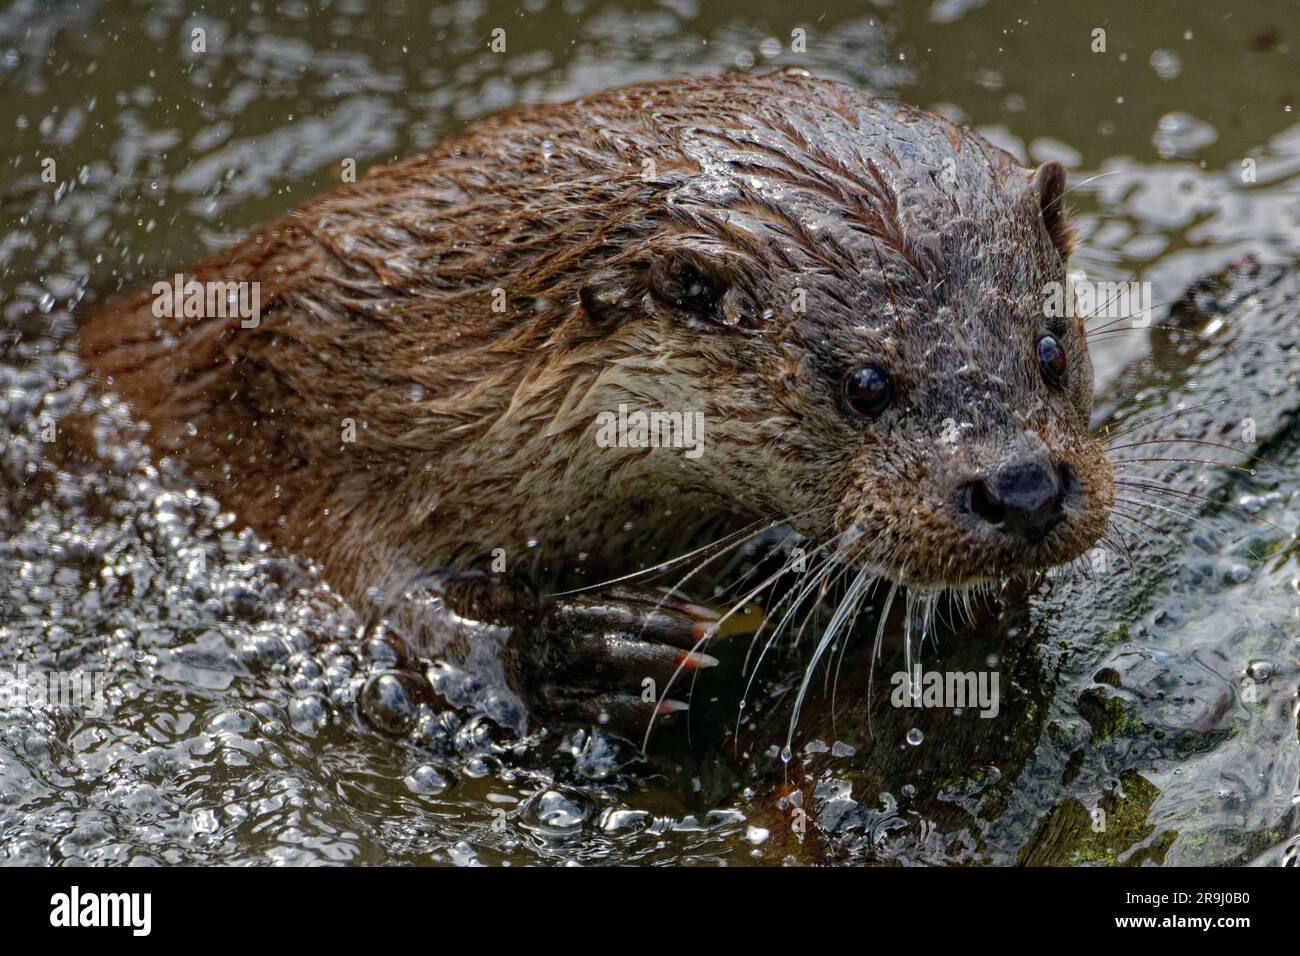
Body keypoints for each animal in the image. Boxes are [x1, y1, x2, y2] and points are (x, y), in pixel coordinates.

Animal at [79, 71, 1114, 734]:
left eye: (1050, 346)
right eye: (866, 385)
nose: (1022, 488)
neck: (413, 367)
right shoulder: (281, 433)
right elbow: (383, 608)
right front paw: (583, 643)